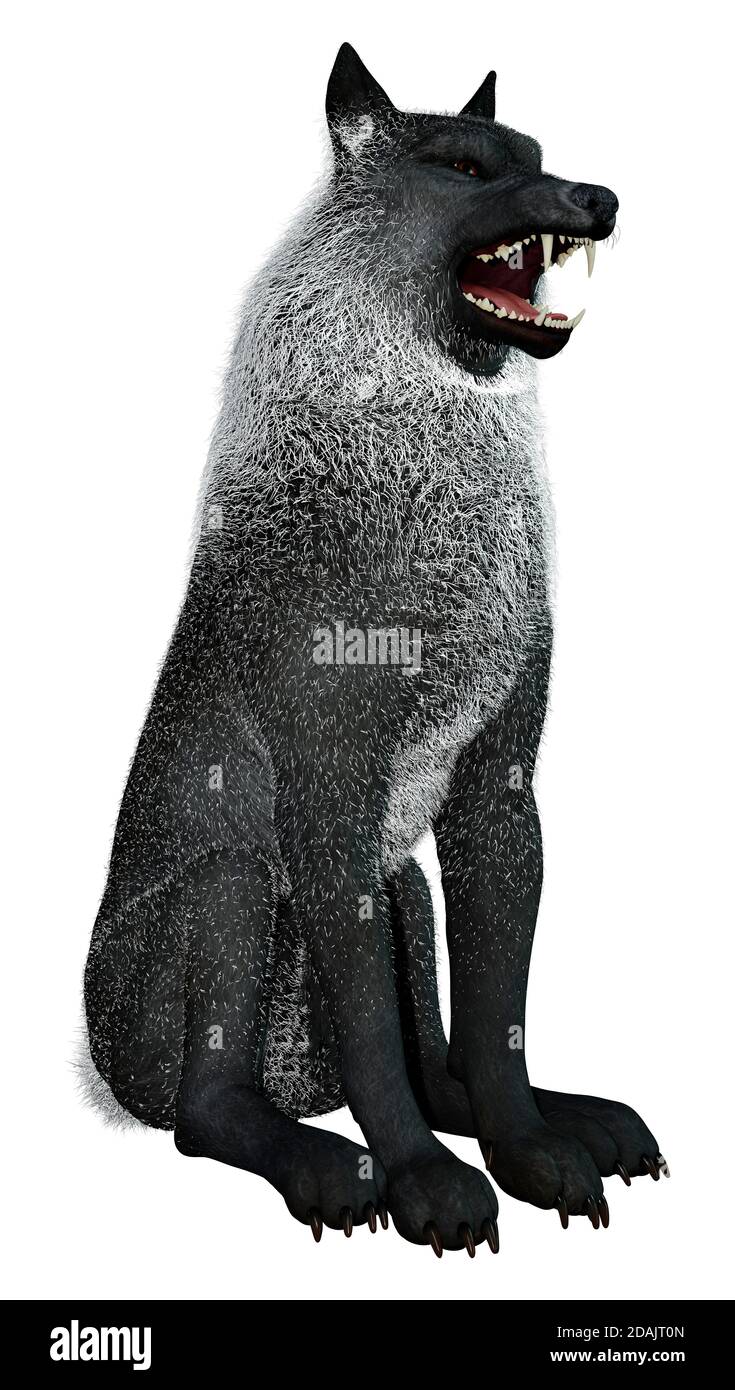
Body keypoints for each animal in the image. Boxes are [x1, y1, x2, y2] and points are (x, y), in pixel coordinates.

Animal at [83, 43, 667, 1255]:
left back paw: (578, 1120)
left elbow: (494, 1025)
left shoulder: (495, 791)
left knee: (434, 1063)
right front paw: (425, 1183)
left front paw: (532, 1153)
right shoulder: (329, 804)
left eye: (536, 154)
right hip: (236, 885)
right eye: (462, 167)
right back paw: (326, 1165)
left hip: (406, 891)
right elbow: (371, 1044)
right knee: (208, 1111)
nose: (598, 198)